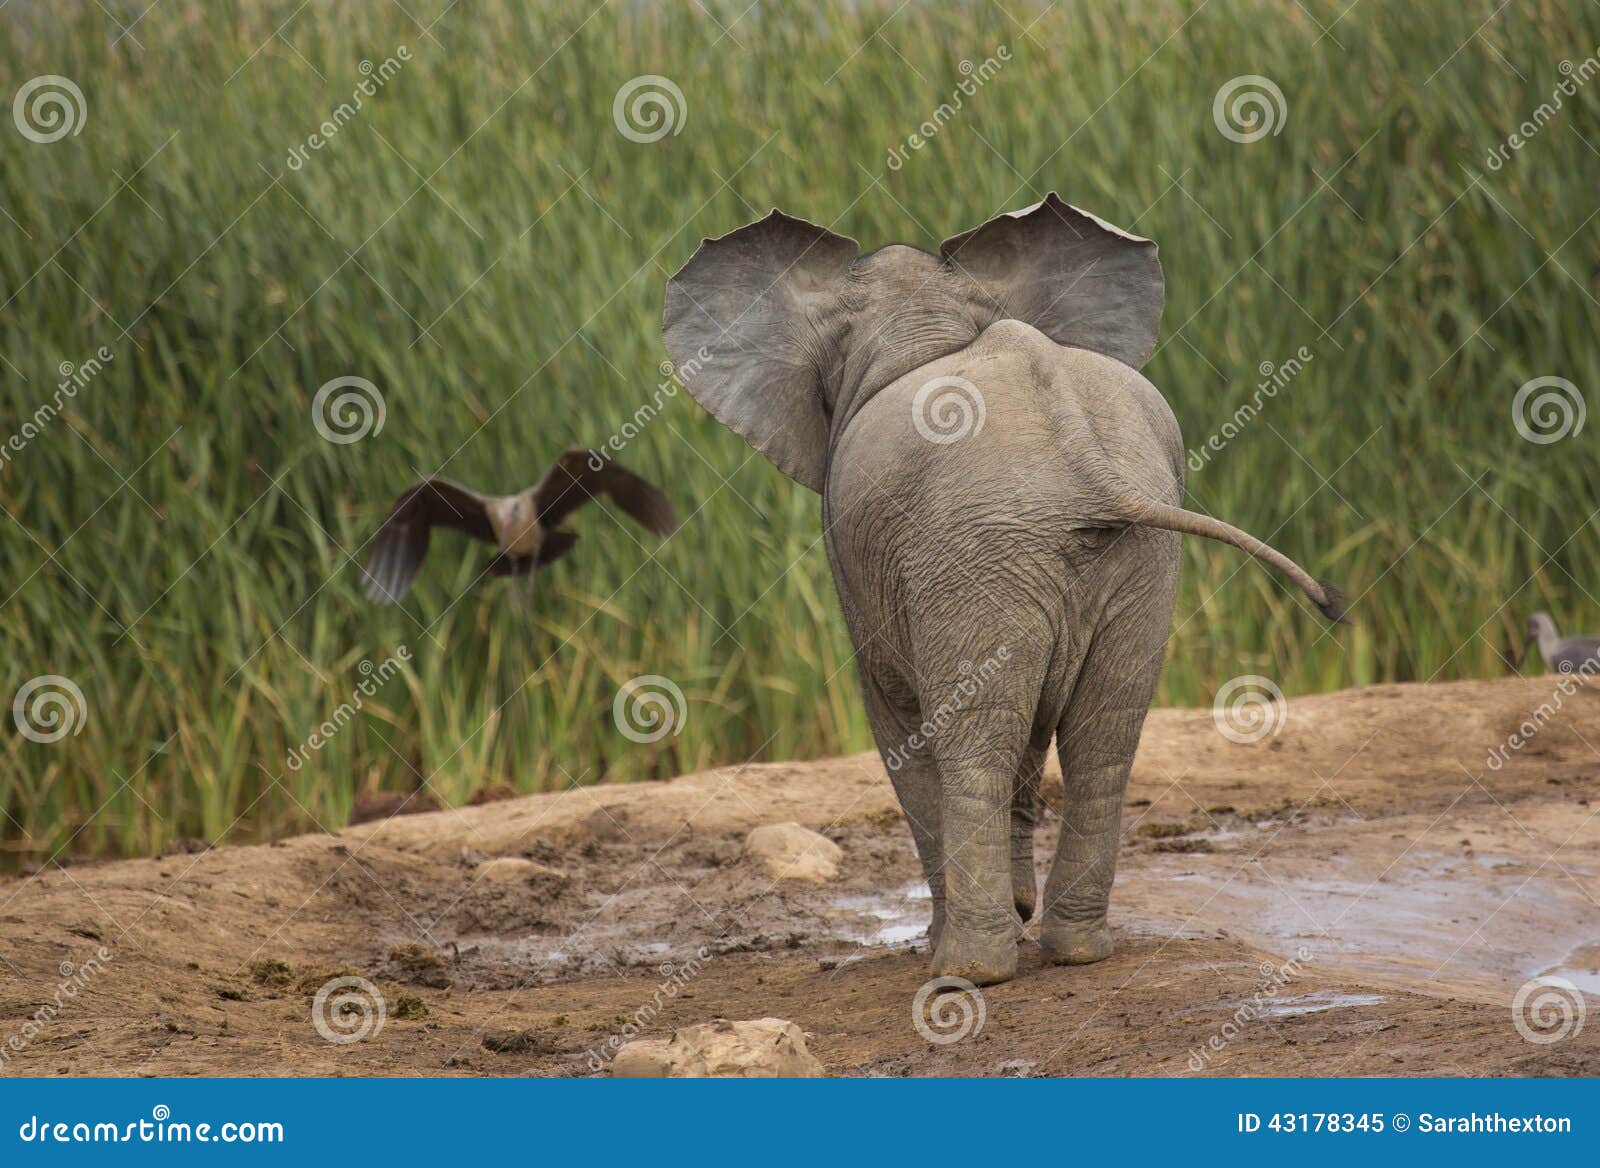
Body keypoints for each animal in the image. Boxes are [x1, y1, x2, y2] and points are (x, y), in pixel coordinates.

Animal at [662, 194, 1345, 986]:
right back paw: (1076, 950)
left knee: (974, 746)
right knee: (1103, 737)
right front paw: (1019, 911)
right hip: (1118, 562)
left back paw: (969, 968)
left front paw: (954, 935)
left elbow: (897, 719)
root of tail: (1080, 461)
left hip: (978, 553)